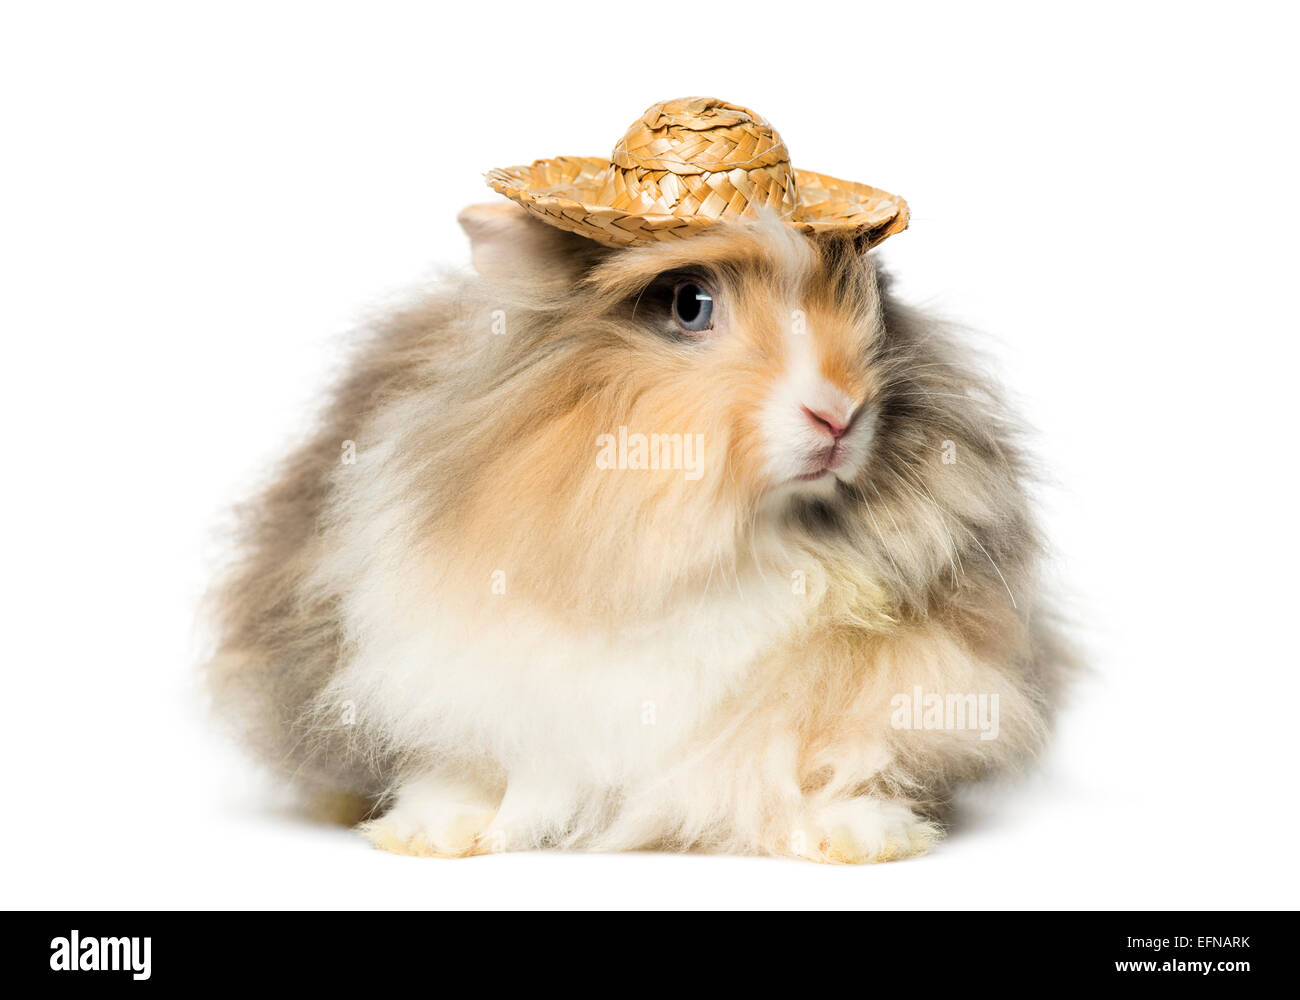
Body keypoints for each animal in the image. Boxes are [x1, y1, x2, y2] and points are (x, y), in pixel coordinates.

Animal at [206, 200, 1069, 863]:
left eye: (874, 296)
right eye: (689, 304)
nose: (839, 413)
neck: (718, 542)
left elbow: (834, 763)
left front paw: (862, 838)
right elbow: (458, 762)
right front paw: (436, 834)